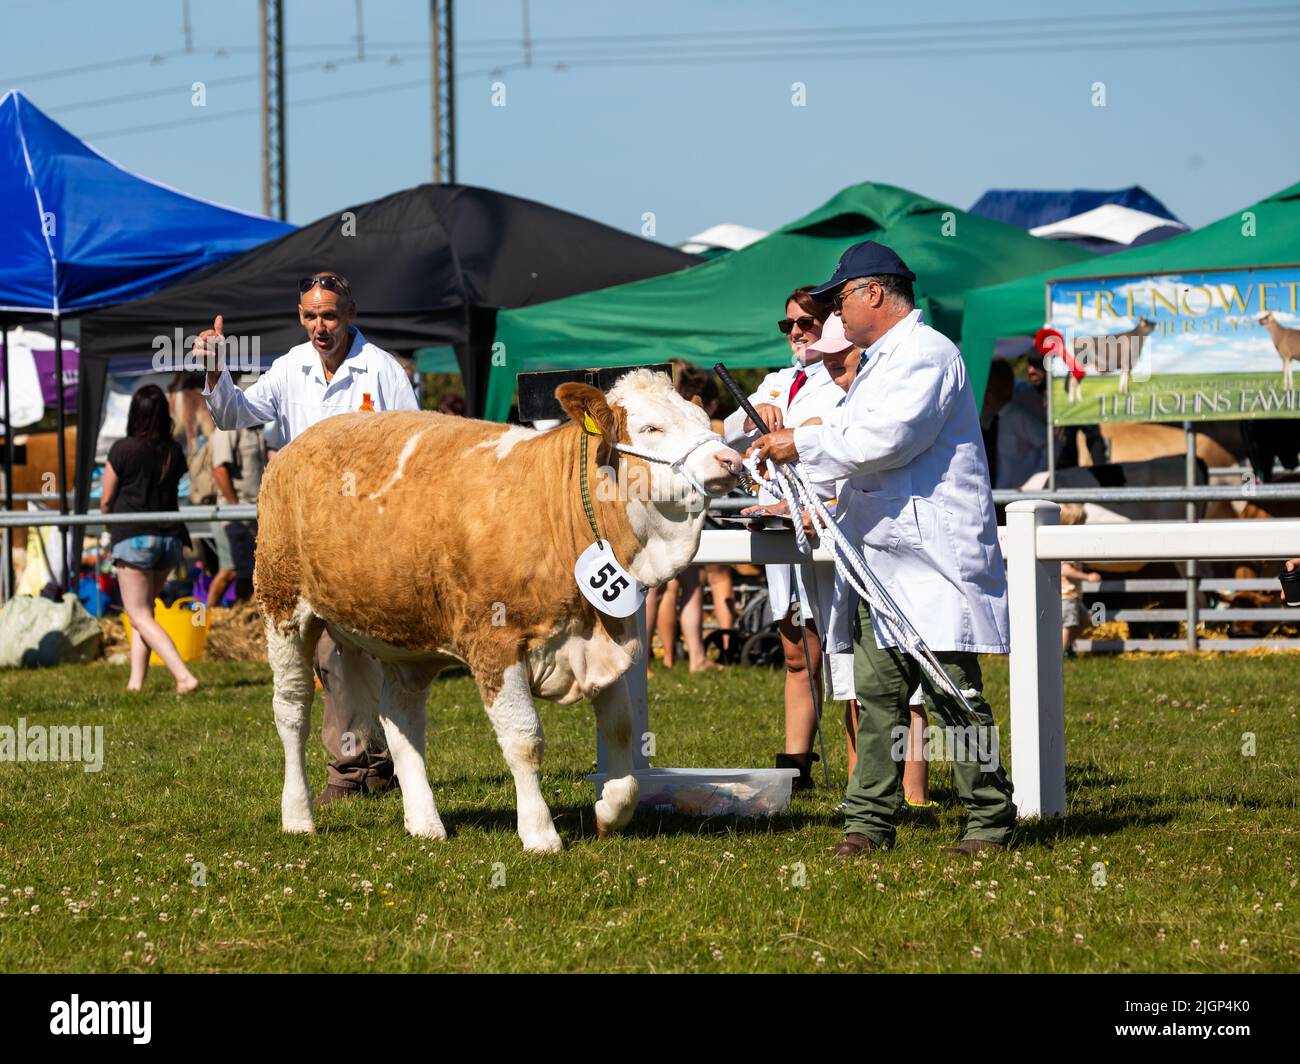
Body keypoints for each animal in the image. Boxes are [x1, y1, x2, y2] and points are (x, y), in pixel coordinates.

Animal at [254, 369, 742, 852]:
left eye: (703, 419)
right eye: (651, 428)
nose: (730, 460)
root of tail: (299, 444)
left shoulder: (605, 638)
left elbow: (622, 729)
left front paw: (609, 812)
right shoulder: (495, 643)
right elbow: (524, 739)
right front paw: (540, 833)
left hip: (407, 634)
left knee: (399, 716)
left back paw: (425, 822)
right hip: (282, 606)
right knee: (292, 711)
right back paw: (297, 816)